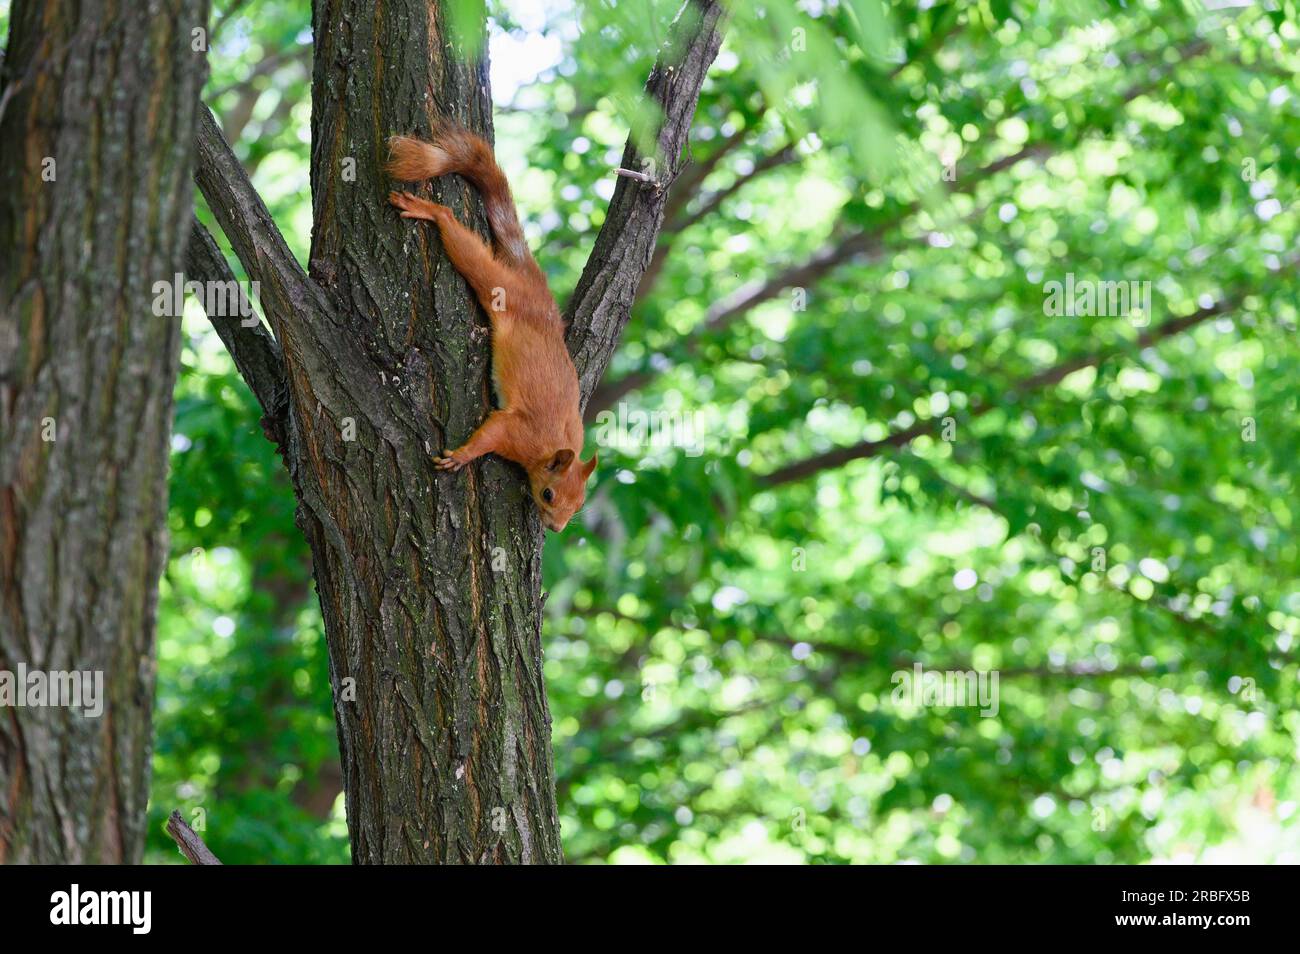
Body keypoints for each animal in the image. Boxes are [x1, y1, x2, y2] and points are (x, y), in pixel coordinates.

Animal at [385, 123, 597, 533]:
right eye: (549, 494)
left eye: (580, 505)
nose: (556, 528)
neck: (549, 448)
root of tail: (534, 287)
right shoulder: (516, 432)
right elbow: (490, 433)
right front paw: (462, 456)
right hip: (499, 289)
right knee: (465, 246)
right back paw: (431, 212)